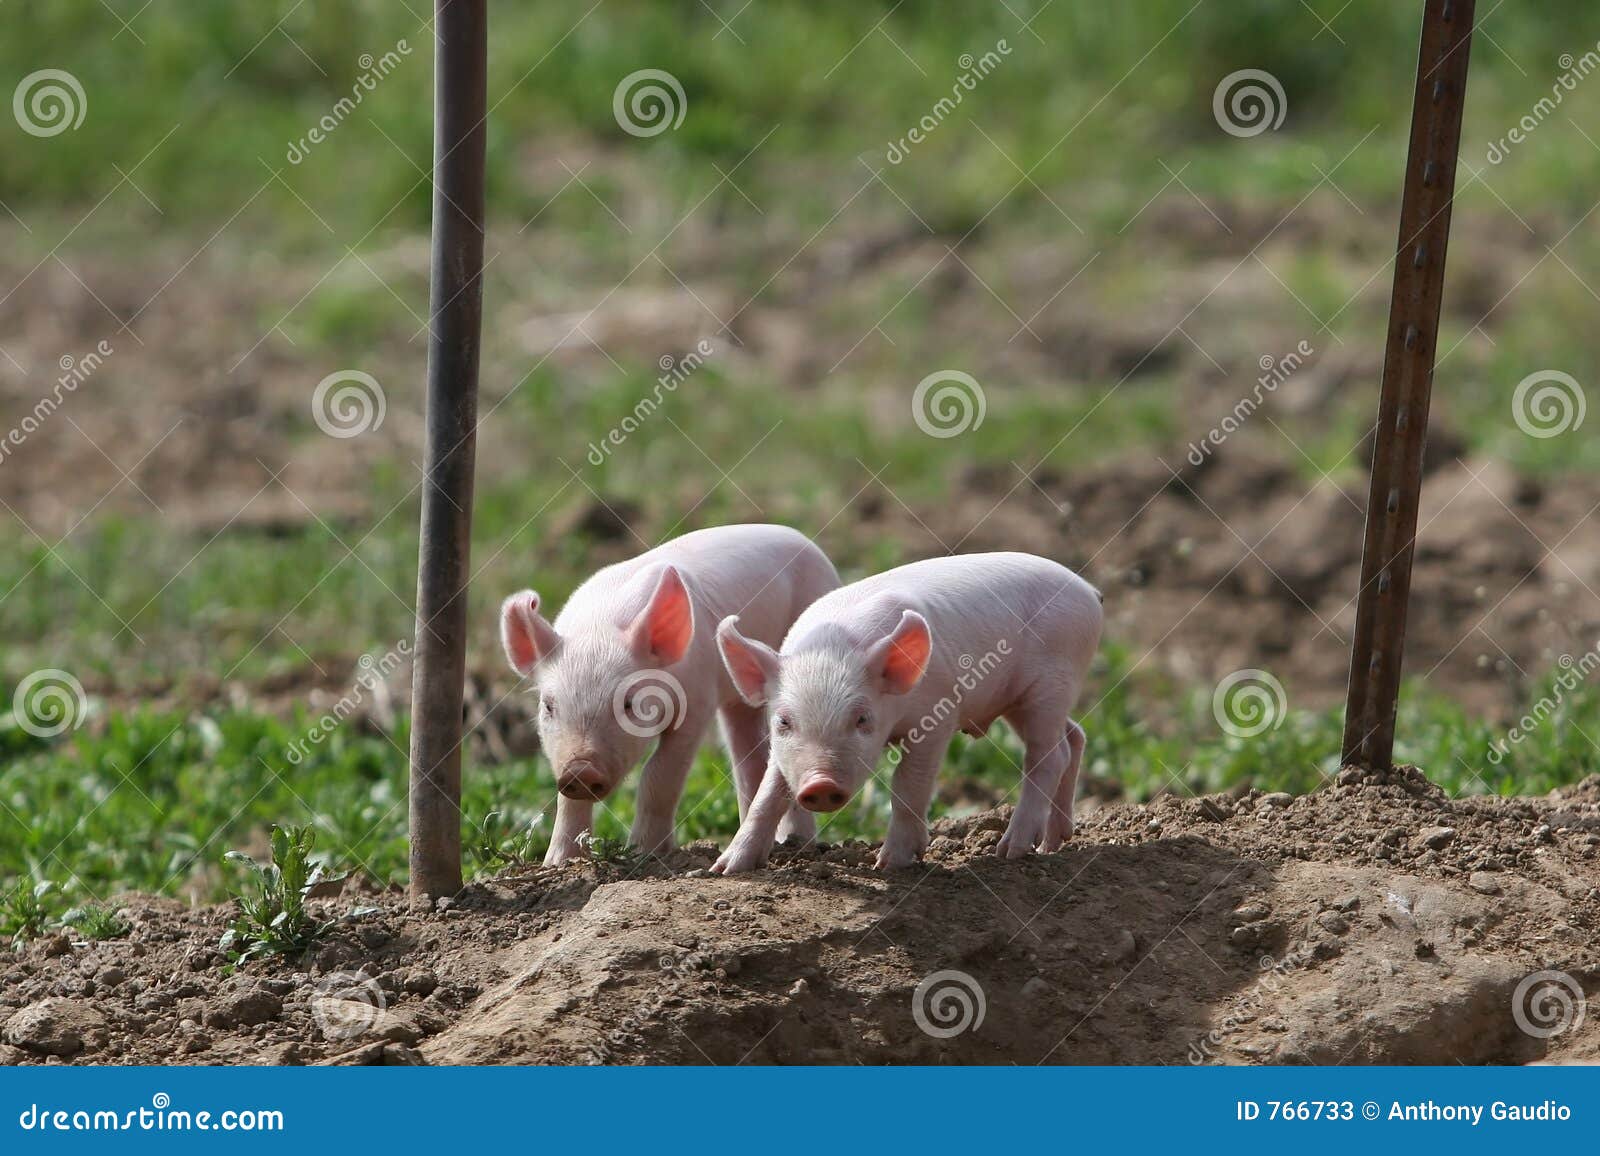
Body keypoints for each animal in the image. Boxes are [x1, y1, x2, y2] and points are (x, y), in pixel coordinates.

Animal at [499, 523, 840, 865]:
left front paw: (644, 853)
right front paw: (558, 862)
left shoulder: (699, 700)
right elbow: (566, 800)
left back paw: (798, 844)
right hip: (739, 696)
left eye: (629, 703)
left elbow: (658, 775)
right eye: (548, 707)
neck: (600, 629)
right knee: (748, 756)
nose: (580, 770)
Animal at [711, 552, 1101, 873]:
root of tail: (1089, 590)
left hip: (1051, 686)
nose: (820, 784)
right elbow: (768, 794)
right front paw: (727, 868)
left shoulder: (938, 714)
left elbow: (907, 785)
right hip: (1019, 701)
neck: (832, 649)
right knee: (1074, 737)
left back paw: (1010, 851)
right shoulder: (783, 754)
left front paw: (888, 865)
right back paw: (1054, 843)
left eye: (862, 718)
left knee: (1049, 755)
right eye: (783, 721)